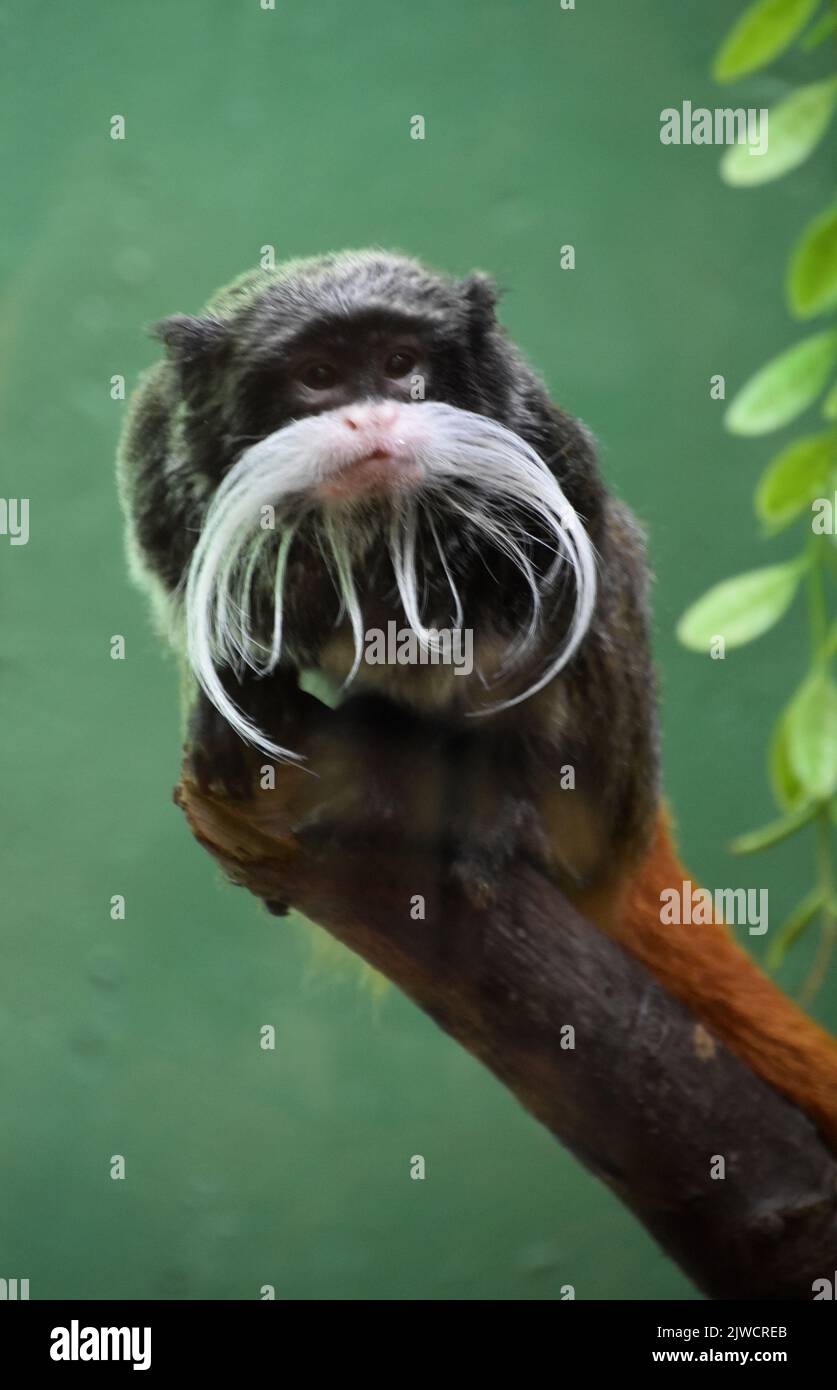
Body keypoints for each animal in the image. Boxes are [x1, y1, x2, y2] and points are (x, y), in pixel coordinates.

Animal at [117, 249, 837, 1152]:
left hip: (613, 786)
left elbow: (564, 582)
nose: (374, 418)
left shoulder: (542, 446)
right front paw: (240, 703)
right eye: (318, 377)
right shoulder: (159, 475)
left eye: (400, 363)